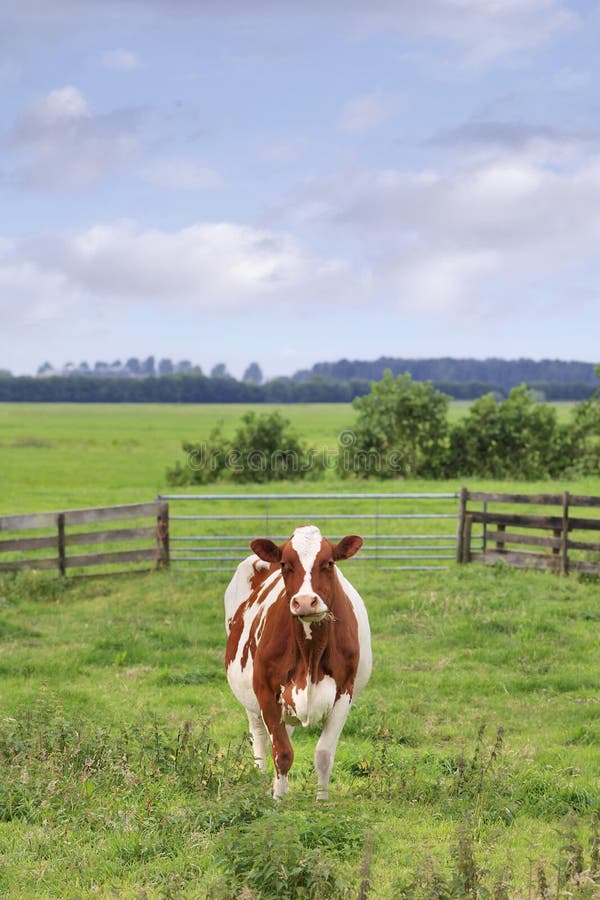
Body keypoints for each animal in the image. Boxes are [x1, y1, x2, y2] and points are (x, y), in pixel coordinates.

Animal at [224, 524, 371, 800]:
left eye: (328, 562)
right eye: (285, 564)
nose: (304, 602)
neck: (310, 652)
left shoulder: (344, 692)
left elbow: (323, 754)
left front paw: (322, 799)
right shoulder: (265, 691)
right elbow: (281, 752)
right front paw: (279, 799)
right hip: (249, 696)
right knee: (259, 735)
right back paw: (261, 777)